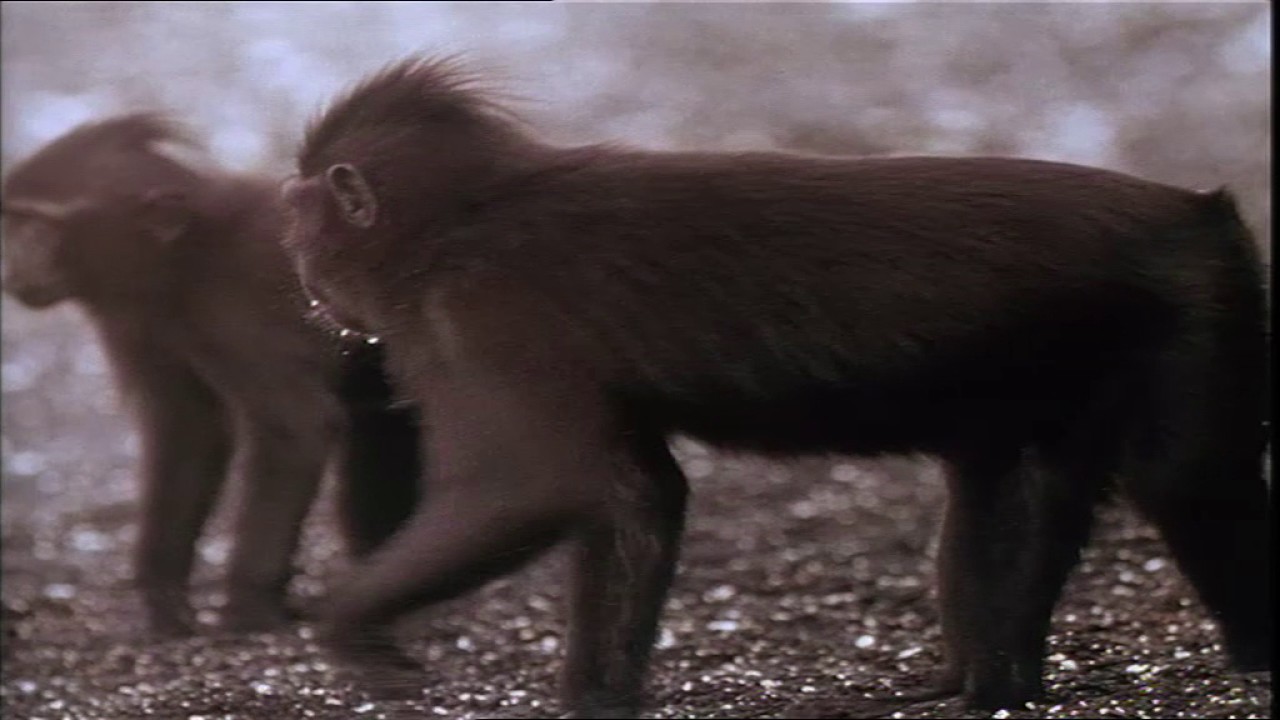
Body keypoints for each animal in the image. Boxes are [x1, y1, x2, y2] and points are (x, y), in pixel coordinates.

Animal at [1, 114, 421, 638]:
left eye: (38, 226)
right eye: (11, 221)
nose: (10, 270)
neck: (182, 260)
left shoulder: (234, 314)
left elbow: (295, 428)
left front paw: (247, 608)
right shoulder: (139, 326)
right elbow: (189, 431)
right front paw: (163, 602)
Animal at [278, 57, 1271, 717]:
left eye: (300, 220)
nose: (302, 277)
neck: (461, 222)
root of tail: (1196, 210)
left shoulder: (480, 319)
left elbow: (535, 486)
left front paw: (353, 626)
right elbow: (633, 496)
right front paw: (597, 696)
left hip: (1196, 300)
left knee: (1188, 483)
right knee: (1015, 481)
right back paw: (991, 684)